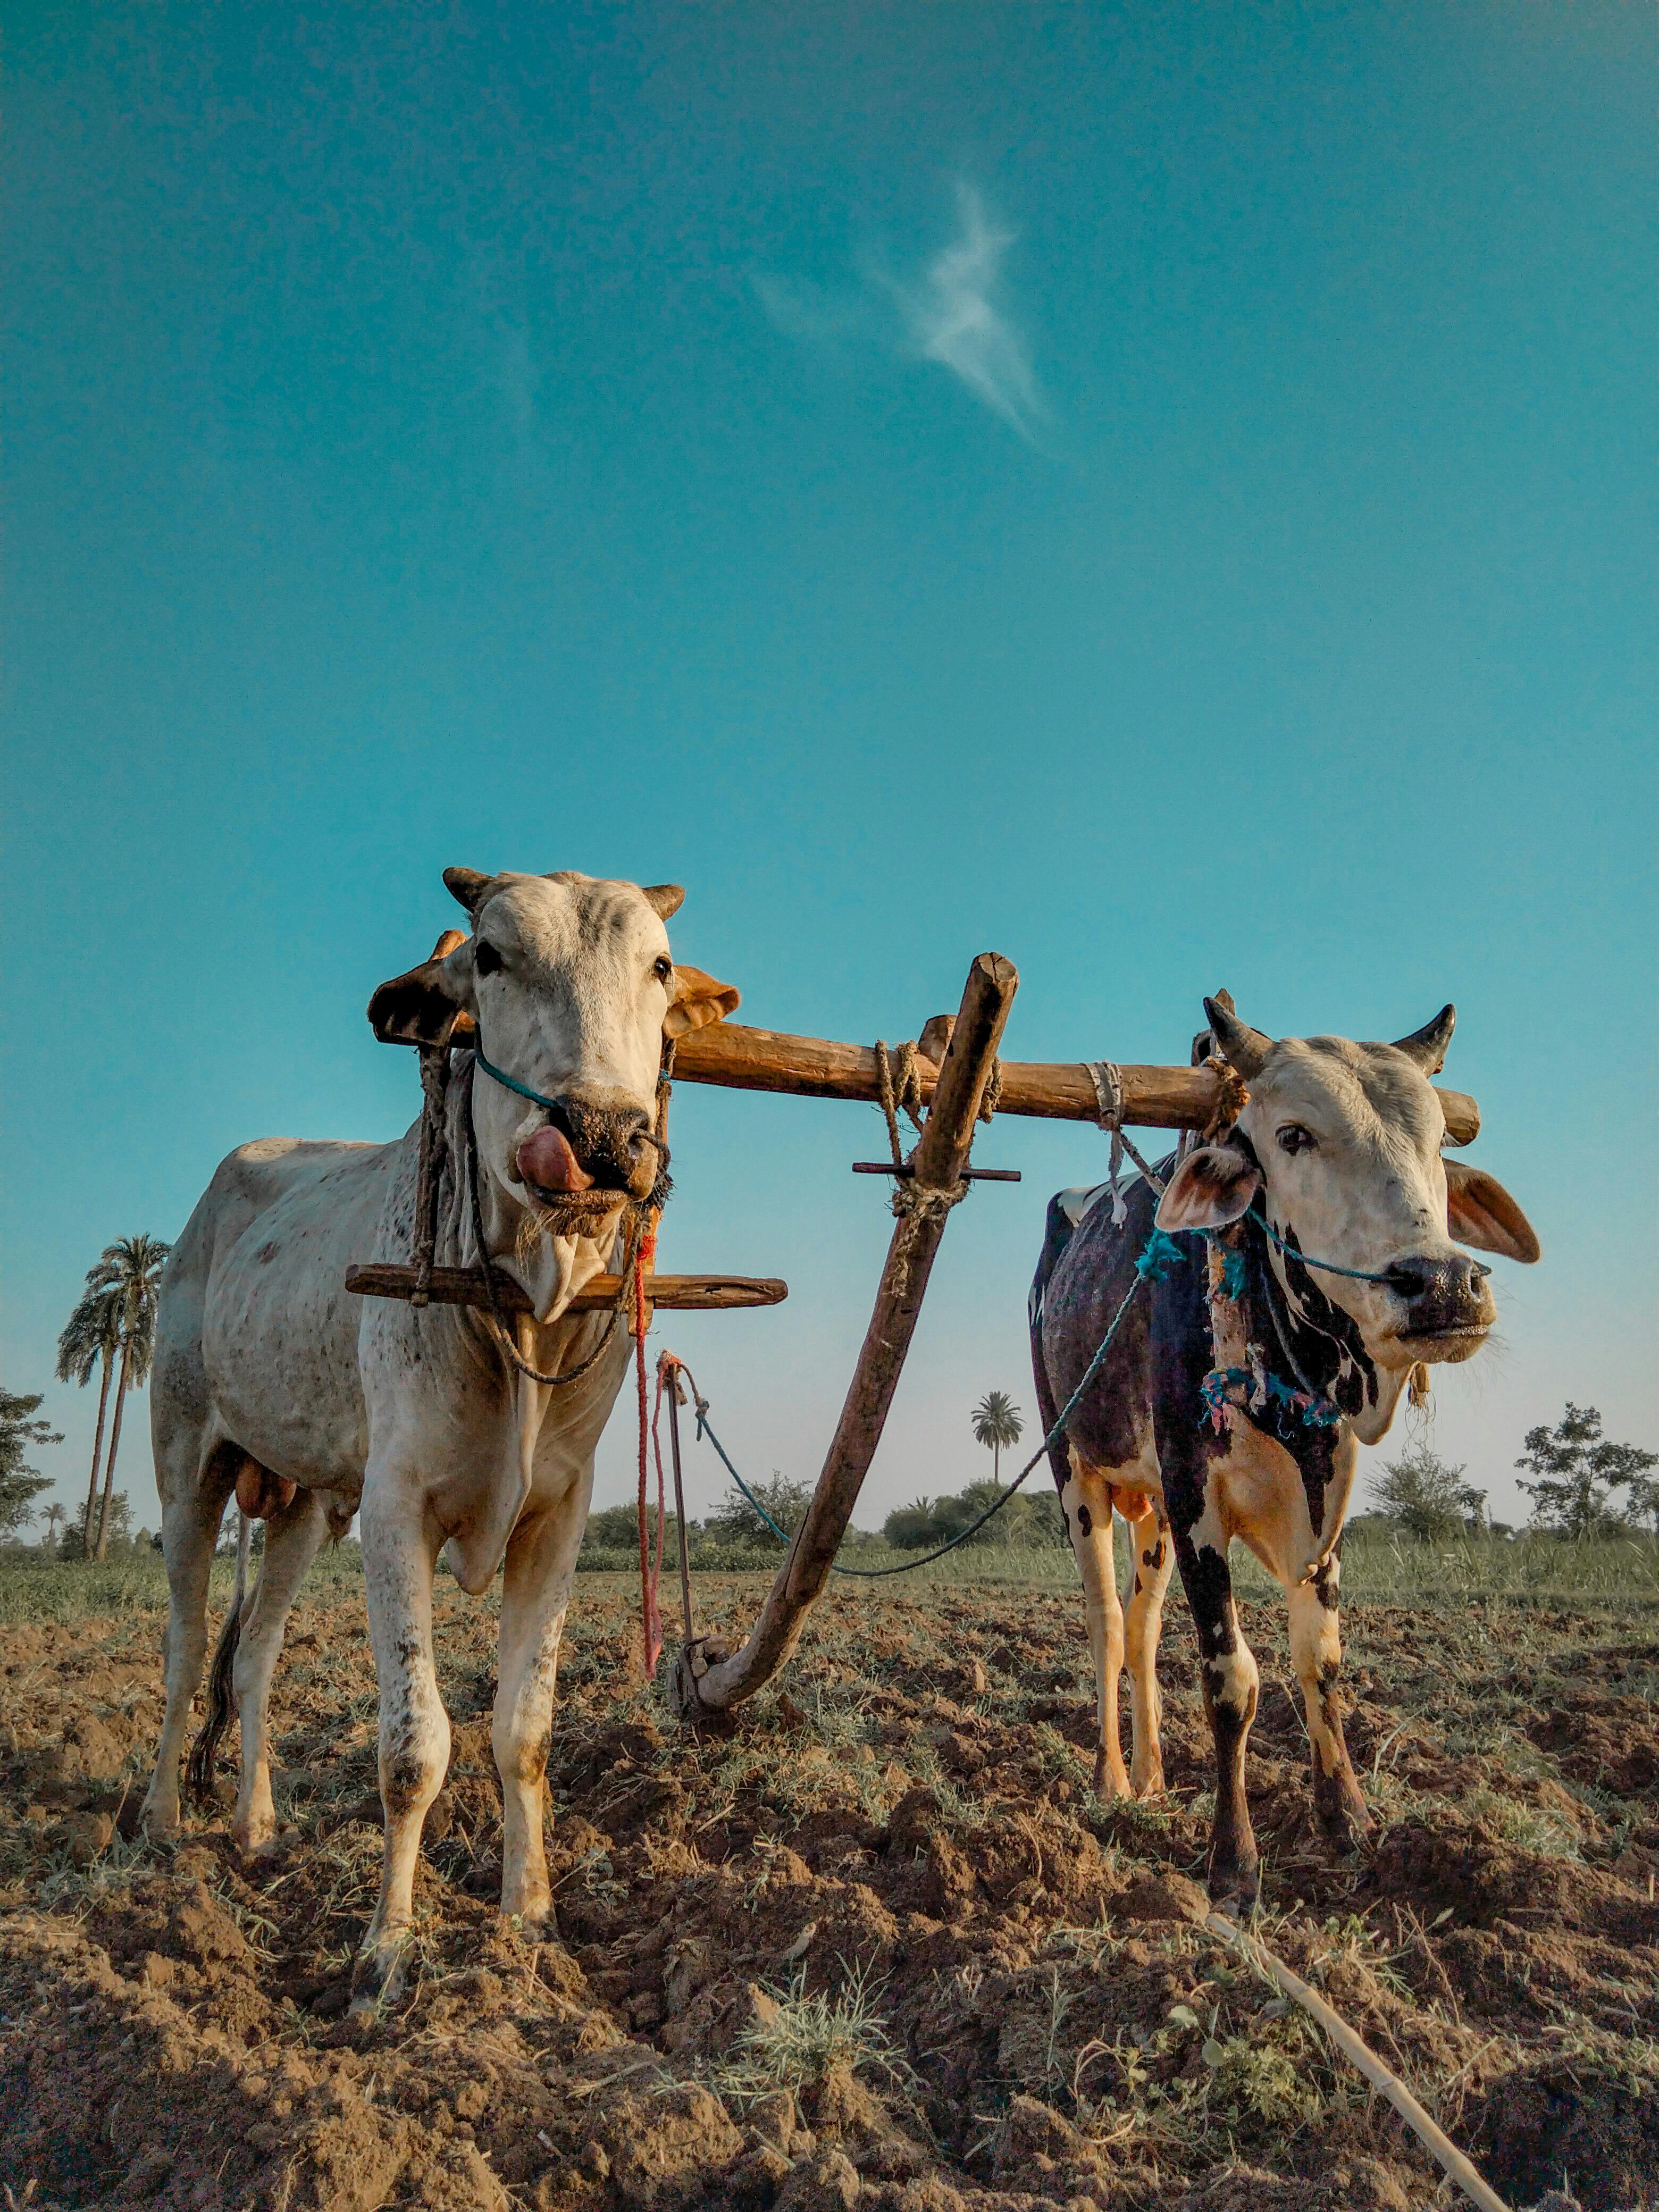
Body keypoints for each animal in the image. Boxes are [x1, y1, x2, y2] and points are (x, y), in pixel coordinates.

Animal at [140, 868, 737, 2007]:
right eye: (491, 957)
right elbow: (414, 1746)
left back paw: (256, 1829)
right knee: (190, 1651)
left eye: (659, 964)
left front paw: (529, 1920)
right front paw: (386, 1950)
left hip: (307, 1504)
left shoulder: (554, 1519)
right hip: (185, 1460)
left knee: (256, 1658)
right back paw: (158, 1826)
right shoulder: (396, 1512)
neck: (528, 1299)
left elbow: (523, 1734)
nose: (602, 1136)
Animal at [1030, 999, 1538, 1910]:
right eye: (1293, 1135)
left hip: (1152, 1512)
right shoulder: (1196, 1498)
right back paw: (1112, 1782)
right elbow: (1232, 1679)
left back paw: (1154, 1777)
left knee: (1145, 1624)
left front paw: (1348, 1819)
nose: (1445, 1285)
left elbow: (1320, 1662)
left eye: (1438, 1141)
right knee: (1107, 1621)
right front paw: (1232, 1860)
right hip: (1075, 1470)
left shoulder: (1321, 1500)